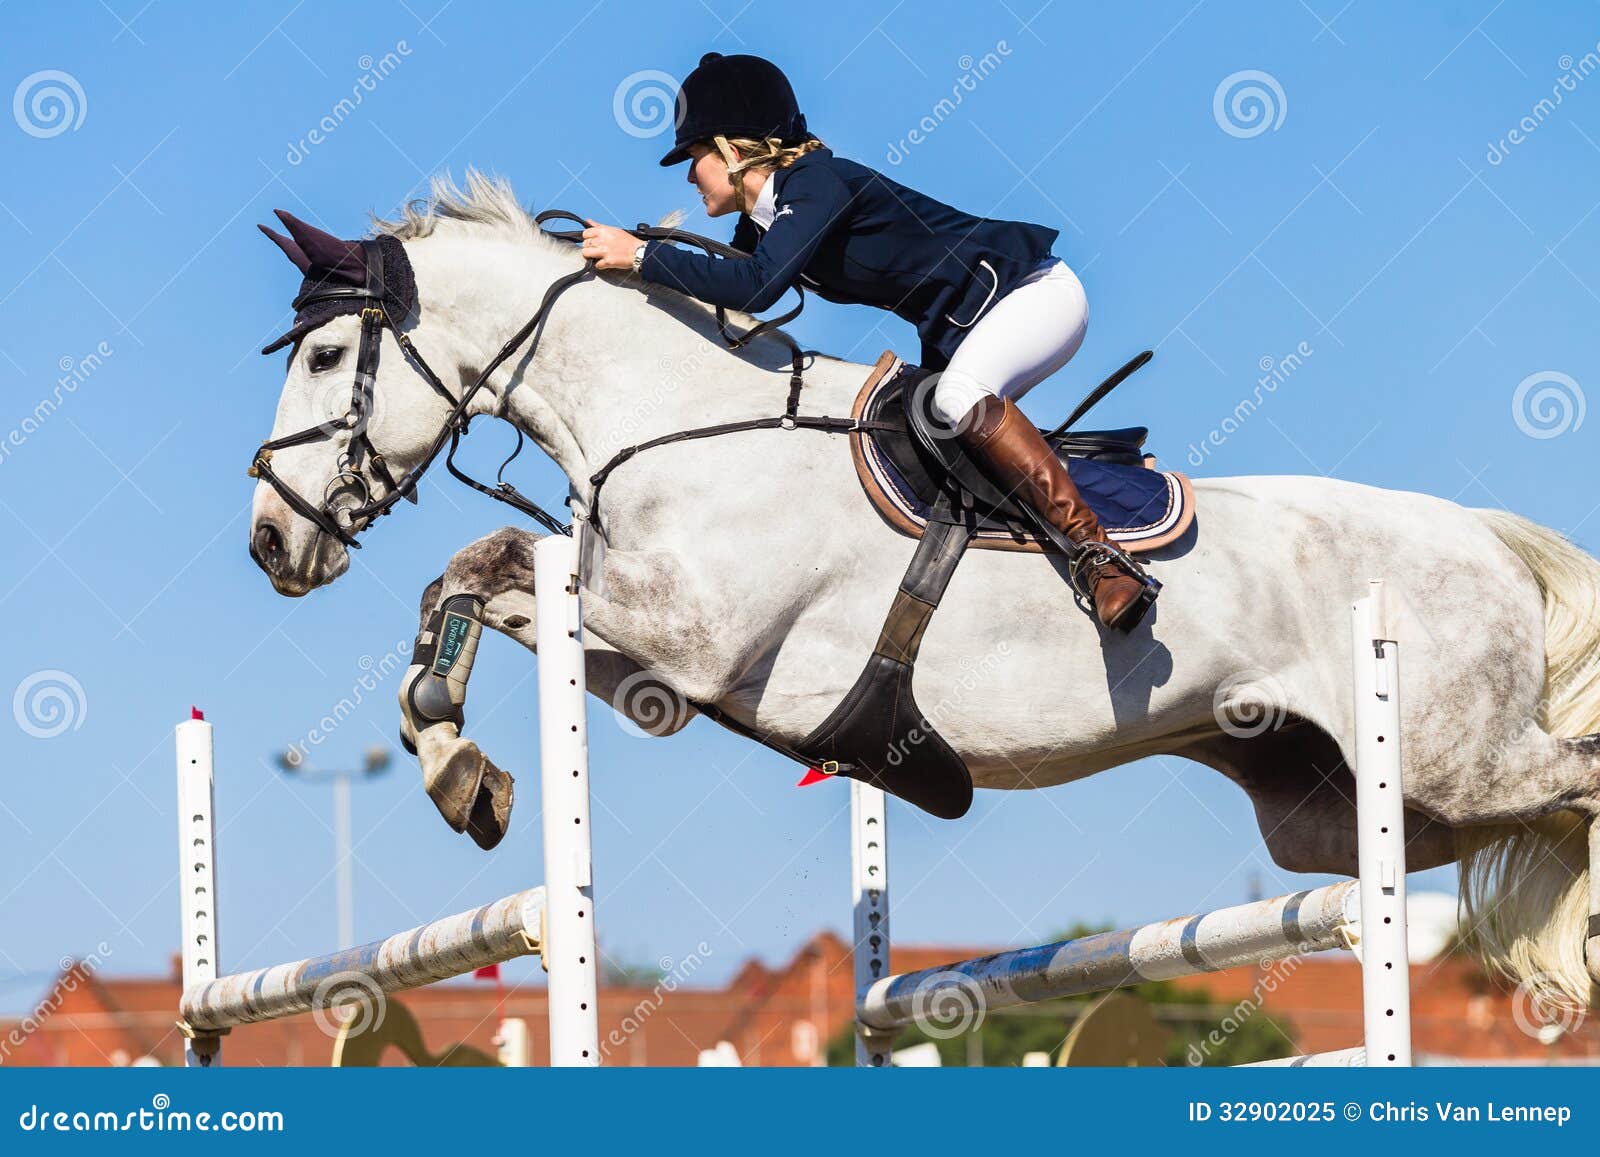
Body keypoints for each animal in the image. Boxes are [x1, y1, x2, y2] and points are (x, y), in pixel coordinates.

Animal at [247, 171, 1600, 1013]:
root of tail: (1483, 536)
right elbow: (476, 572)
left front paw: (453, 758)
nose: (268, 541)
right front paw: (455, 767)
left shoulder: (690, 640)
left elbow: (490, 563)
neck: (676, 419)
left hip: (1455, 757)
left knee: (1576, 780)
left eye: (327, 353)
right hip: (1348, 809)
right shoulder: (651, 669)